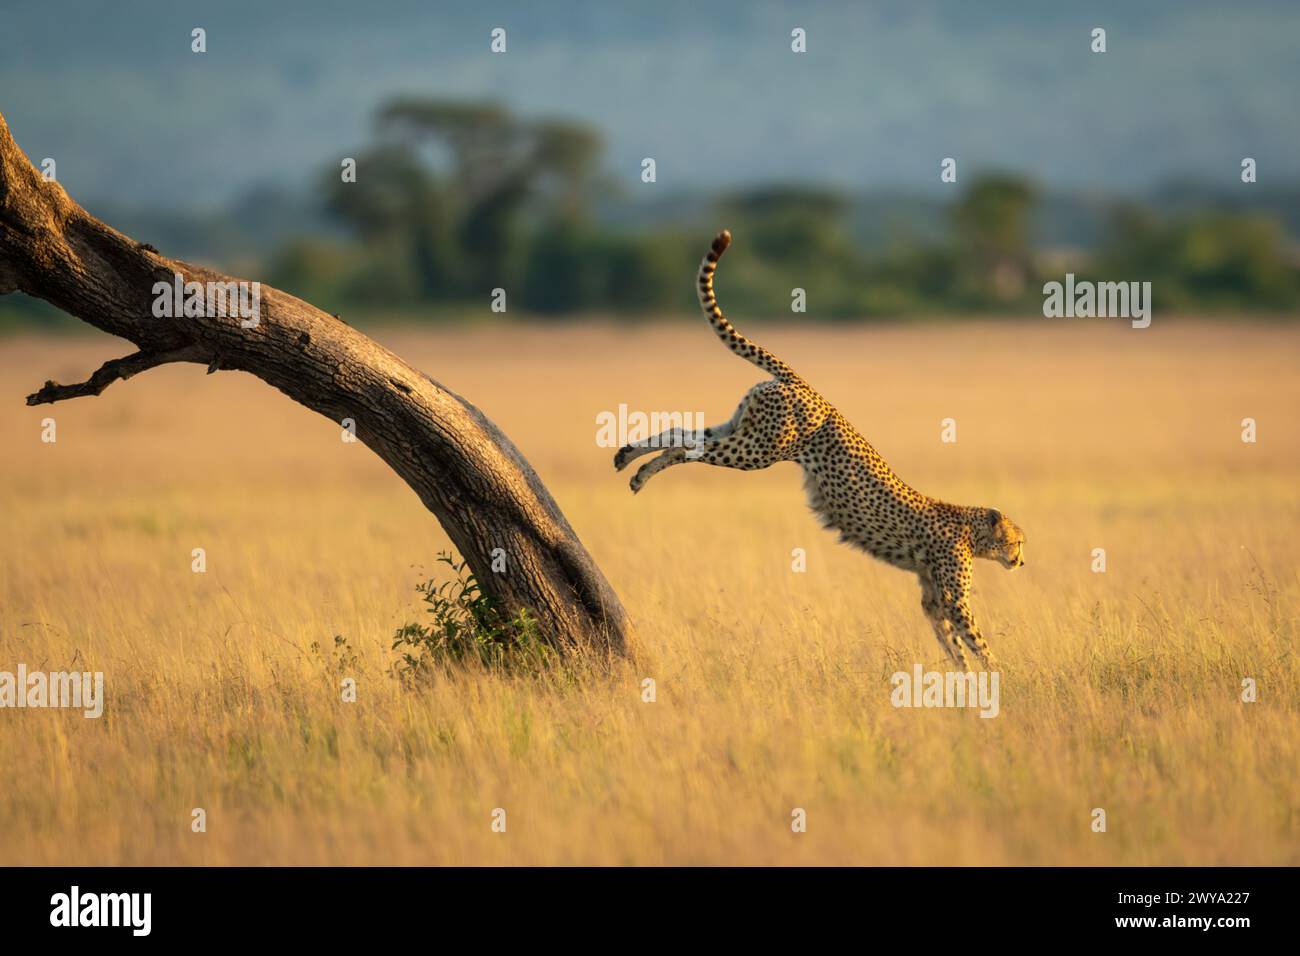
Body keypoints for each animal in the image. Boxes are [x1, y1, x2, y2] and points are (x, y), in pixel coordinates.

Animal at [613, 229, 1025, 670]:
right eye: (1017, 542)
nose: (1021, 561)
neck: (971, 527)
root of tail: (807, 387)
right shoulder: (952, 597)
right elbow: (976, 640)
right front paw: (998, 674)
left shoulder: (932, 597)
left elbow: (951, 642)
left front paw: (965, 676)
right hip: (759, 449)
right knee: (689, 448)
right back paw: (639, 469)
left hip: (743, 429)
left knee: (681, 432)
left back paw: (629, 460)